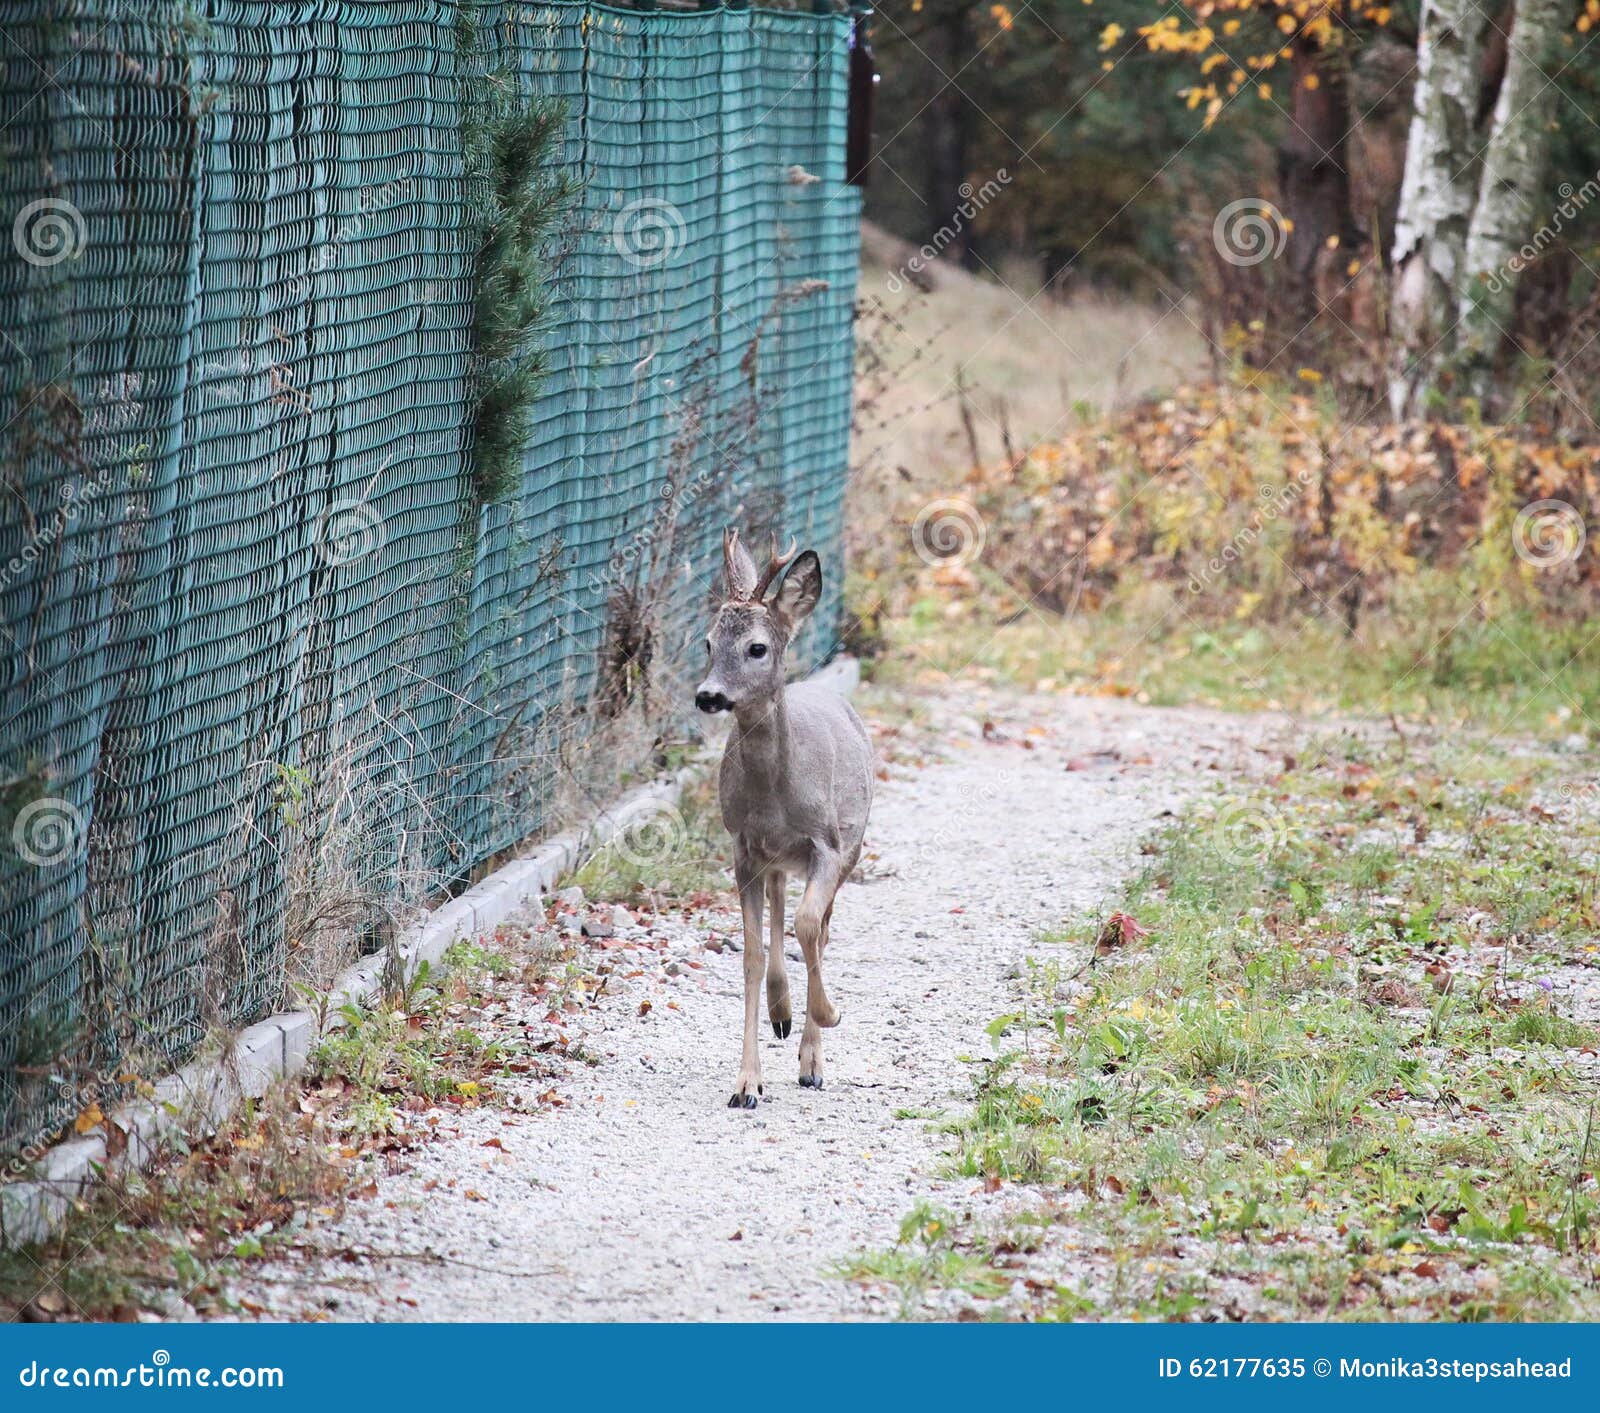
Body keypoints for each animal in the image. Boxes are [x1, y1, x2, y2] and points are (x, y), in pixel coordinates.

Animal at [695, 529, 875, 1108]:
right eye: (708, 642)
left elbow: (809, 925)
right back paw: (781, 1011)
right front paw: (746, 1083)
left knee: (819, 925)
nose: (708, 695)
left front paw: (828, 1015)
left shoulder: (828, 845)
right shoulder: (742, 846)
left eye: (757, 647)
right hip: (772, 858)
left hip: (851, 846)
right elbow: (751, 954)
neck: (776, 795)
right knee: (778, 909)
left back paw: (810, 1055)